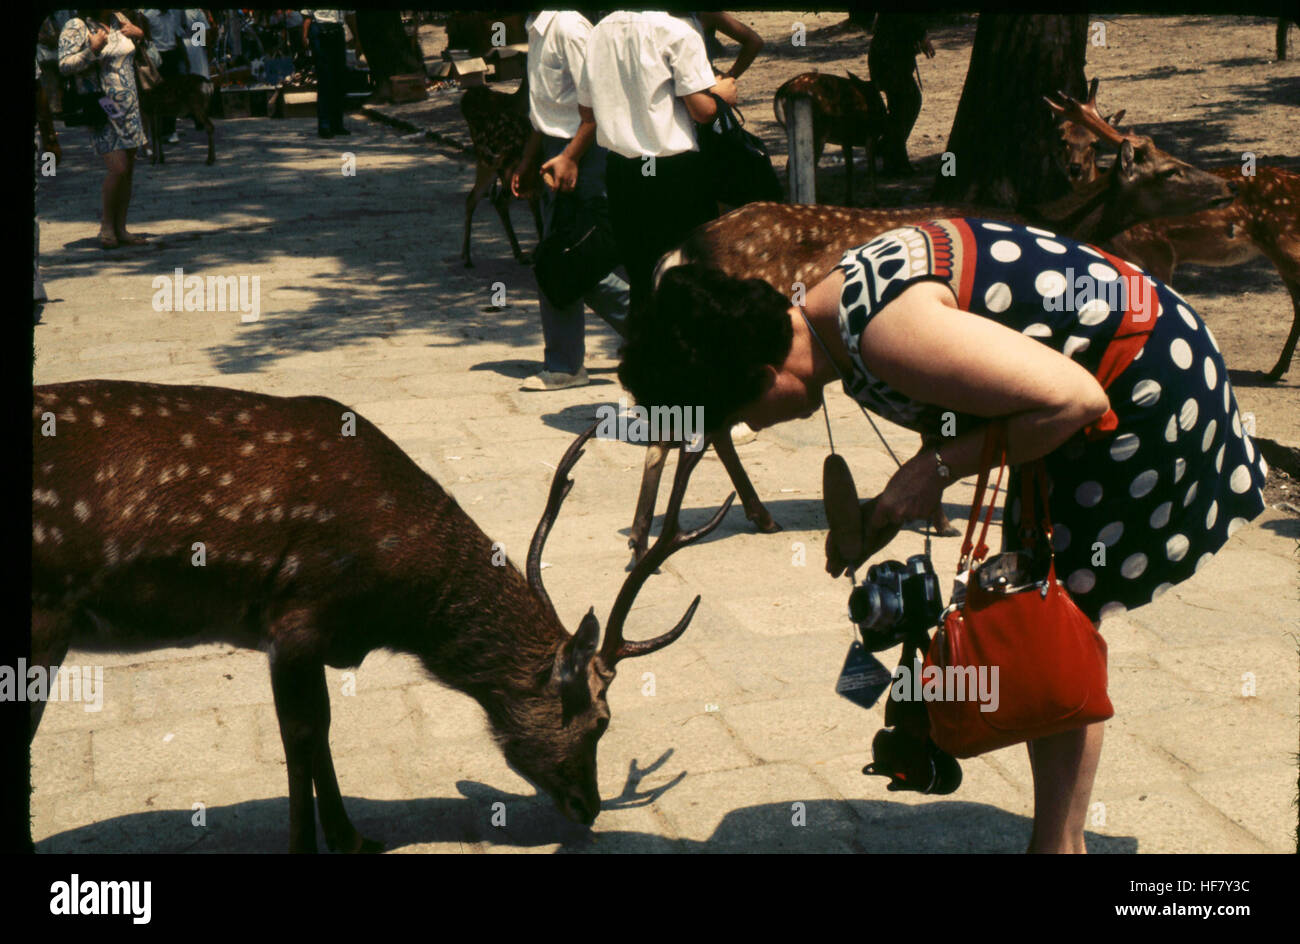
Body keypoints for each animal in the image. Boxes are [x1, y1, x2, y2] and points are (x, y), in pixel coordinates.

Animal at [29, 380, 734, 852]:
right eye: (601, 721)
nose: (590, 808)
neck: (391, 606)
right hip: (45, 619)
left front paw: (353, 837)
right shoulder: (295, 615)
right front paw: (309, 844)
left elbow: (322, 732)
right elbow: (301, 737)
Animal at [626, 86, 1237, 561]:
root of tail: (679, 249)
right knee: (699, 433)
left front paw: (936, 514)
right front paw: (943, 521)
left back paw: (662, 527)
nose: (1227, 187)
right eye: (1168, 169)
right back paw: (679, 527)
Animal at [774, 71, 889, 206]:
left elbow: (849, 169)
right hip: (818, 132)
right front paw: (875, 200)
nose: (881, 123)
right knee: (803, 165)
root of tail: (782, 92)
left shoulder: (846, 139)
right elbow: (872, 168)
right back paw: (817, 199)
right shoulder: (870, 136)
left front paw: (848, 200)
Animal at [1047, 81, 1299, 383]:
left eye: (1094, 144)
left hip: (1286, 242)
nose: (1075, 169)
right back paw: (1276, 370)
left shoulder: (1159, 251)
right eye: (1061, 140)